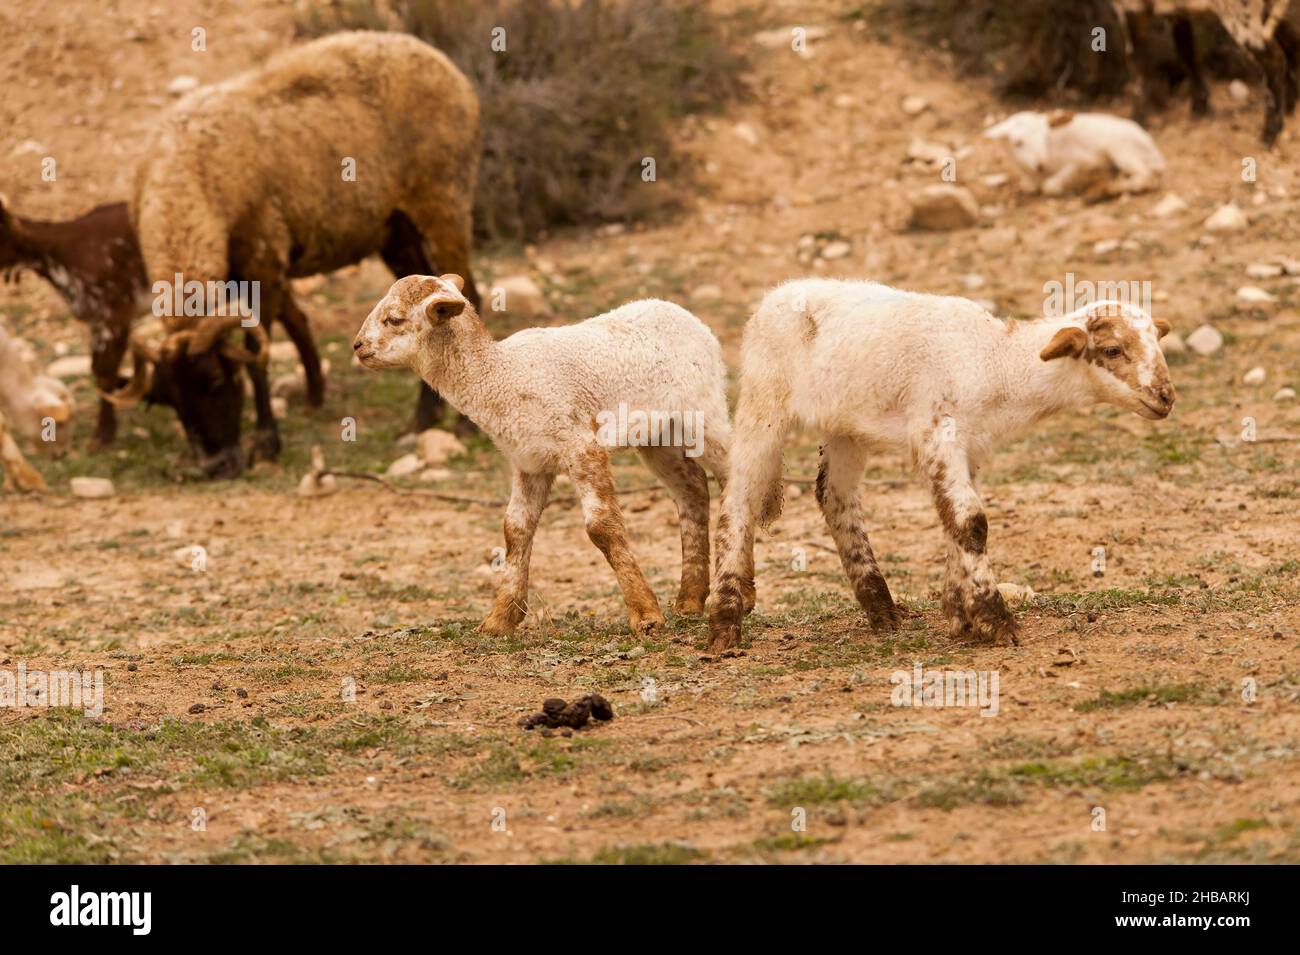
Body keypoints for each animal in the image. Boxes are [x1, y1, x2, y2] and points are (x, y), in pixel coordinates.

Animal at [112, 31, 482, 477]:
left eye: (216, 381)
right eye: (166, 398)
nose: (218, 467)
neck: (188, 178)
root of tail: (446, 66)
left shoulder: (264, 262)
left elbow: (258, 354)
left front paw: (266, 444)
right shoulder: (256, 267)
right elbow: (297, 322)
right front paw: (312, 394)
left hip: (444, 204)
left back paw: (463, 427)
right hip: (398, 232)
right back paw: (420, 423)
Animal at [352, 274, 731, 636]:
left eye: (395, 319)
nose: (357, 346)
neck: (498, 376)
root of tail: (683, 314)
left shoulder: (581, 445)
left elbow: (602, 528)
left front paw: (646, 616)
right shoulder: (529, 461)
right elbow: (515, 529)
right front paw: (499, 620)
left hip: (706, 410)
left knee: (733, 474)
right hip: (657, 435)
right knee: (692, 488)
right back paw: (689, 601)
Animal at [707, 280, 1175, 652]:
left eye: (1158, 346)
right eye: (1113, 350)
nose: (1167, 397)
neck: (1000, 363)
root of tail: (779, 293)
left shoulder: (969, 448)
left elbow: (958, 522)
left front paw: (961, 616)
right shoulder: (939, 433)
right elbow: (972, 523)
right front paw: (995, 619)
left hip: (846, 424)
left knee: (834, 496)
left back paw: (881, 610)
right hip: (764, 400)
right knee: (739, 496)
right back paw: (726, 619)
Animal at [983, 110, 1166, 197]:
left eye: (1045, 137)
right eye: (1018, 142)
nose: (1040, 164)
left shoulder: (1080, 161)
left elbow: (1050, 186)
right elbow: (1030, 187)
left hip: (1120, 149)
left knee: (1146, 176)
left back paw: (1109, 186)